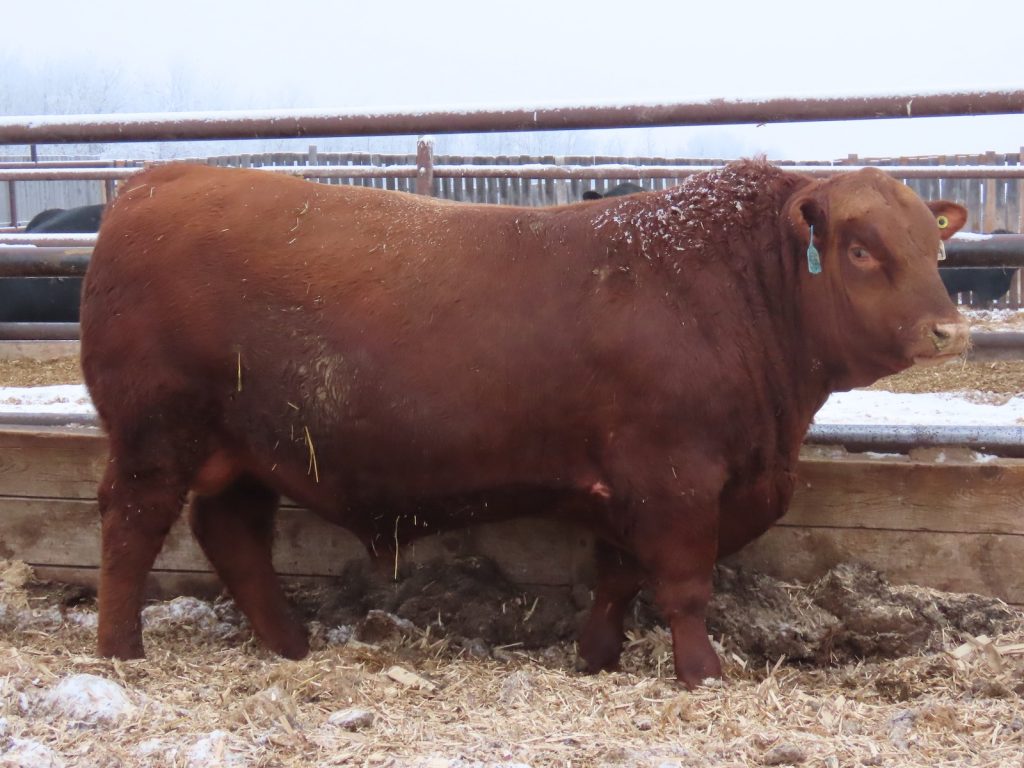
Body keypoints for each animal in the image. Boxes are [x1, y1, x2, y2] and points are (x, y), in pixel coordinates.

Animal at [80, 161, 968, 687]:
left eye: (934, 247)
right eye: (861, 249)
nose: (950, 330)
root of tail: (161, 178)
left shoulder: (633, 485)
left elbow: (619, 574)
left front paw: (597, 657)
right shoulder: (676, 476)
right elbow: (683, 585)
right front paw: (702, 672)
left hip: (249, 450)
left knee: (231, 533)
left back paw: (288, 643)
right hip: (156, 435)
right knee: (130, 527)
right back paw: (121, 648)